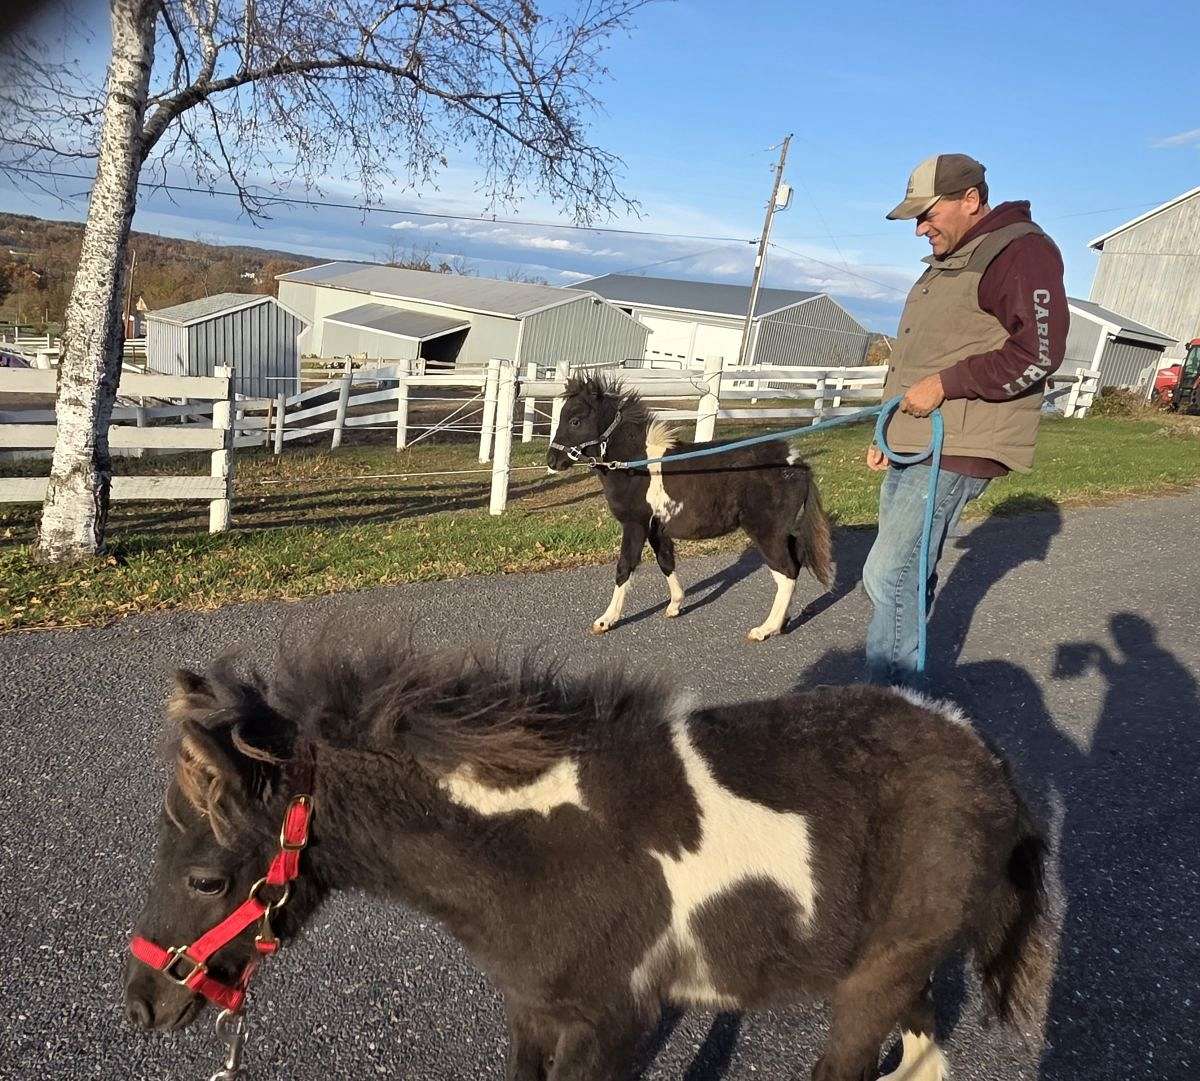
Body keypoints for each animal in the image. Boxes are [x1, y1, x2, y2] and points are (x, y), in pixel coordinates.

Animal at [125, 628, 1052, 1081]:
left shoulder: (610, 1023)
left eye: (208, 876)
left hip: (875, 983)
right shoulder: (535, 1008)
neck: (529, 845)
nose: (141, 1006)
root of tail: (992, 762)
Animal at [546, 374, 832, 641]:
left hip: (767, 532)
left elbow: (624, 567)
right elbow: (666, 561)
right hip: (785, 532)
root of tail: (797, 464)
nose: (552, 460)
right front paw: (675, 606)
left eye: (575, 420)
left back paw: (765, 629)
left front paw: (605, 621)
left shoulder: (635, 525)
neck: (636, 465)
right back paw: (782, 623)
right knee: (794, 566)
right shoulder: (656, 528)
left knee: (786, 572)